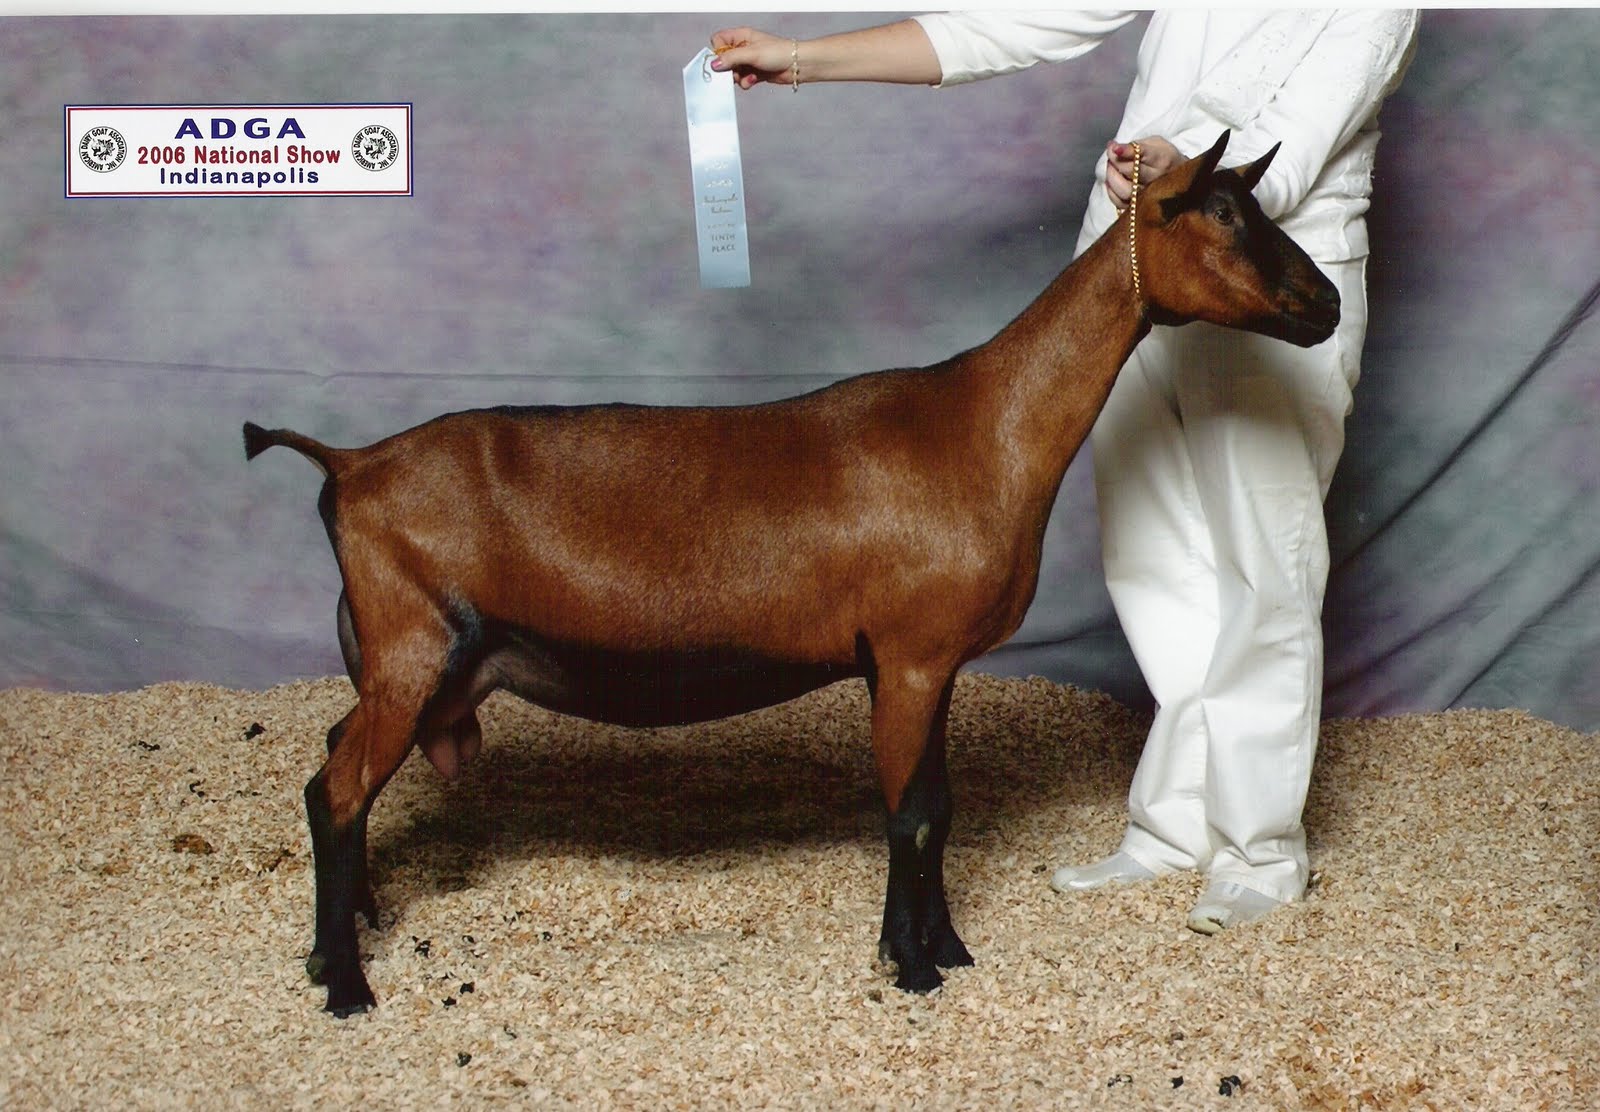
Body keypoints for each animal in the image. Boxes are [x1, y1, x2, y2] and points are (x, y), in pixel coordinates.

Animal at [244, 131, 1338, 1016]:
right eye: (1226, 212)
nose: (1325, 303)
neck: (983, 425)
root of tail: (347, 465)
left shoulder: (926, 666)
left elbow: (936, 806)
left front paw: (943, 944)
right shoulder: (908, 654)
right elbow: (911, 812)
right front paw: (913, 964)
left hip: (429, 663)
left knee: (337, 767)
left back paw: (348, 930)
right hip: (413, 647)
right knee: (334, 789)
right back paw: (345, 983)